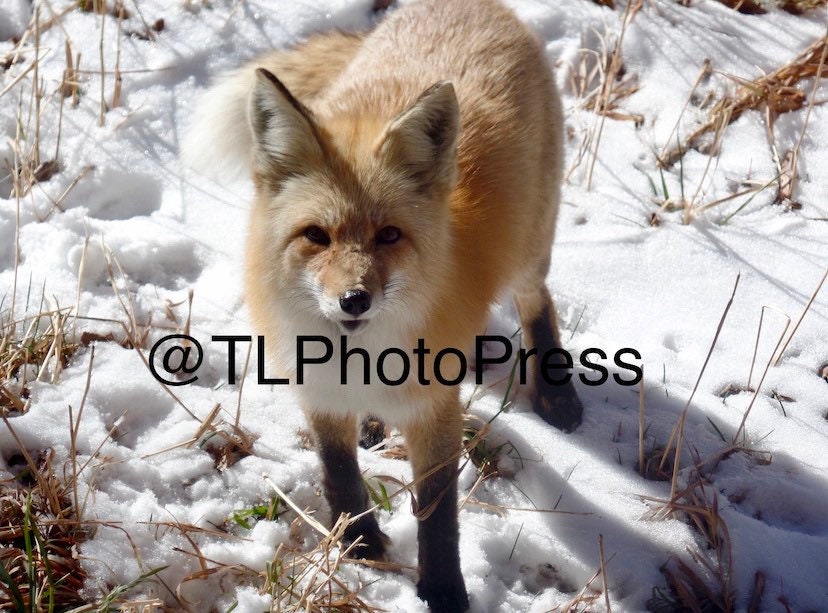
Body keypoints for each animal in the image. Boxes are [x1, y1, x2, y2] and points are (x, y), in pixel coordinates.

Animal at [183, 0, 583, 610]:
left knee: (537, 300)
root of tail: (474, 7)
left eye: (389, 235)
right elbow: (339, 473)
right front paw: (360, 544)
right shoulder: (319, 392)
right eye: (316, 236)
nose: (354, 298)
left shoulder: (434, 408)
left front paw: (442, 590)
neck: (361, 357)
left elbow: (438, 512)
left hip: (528, 250)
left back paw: (556, 390)